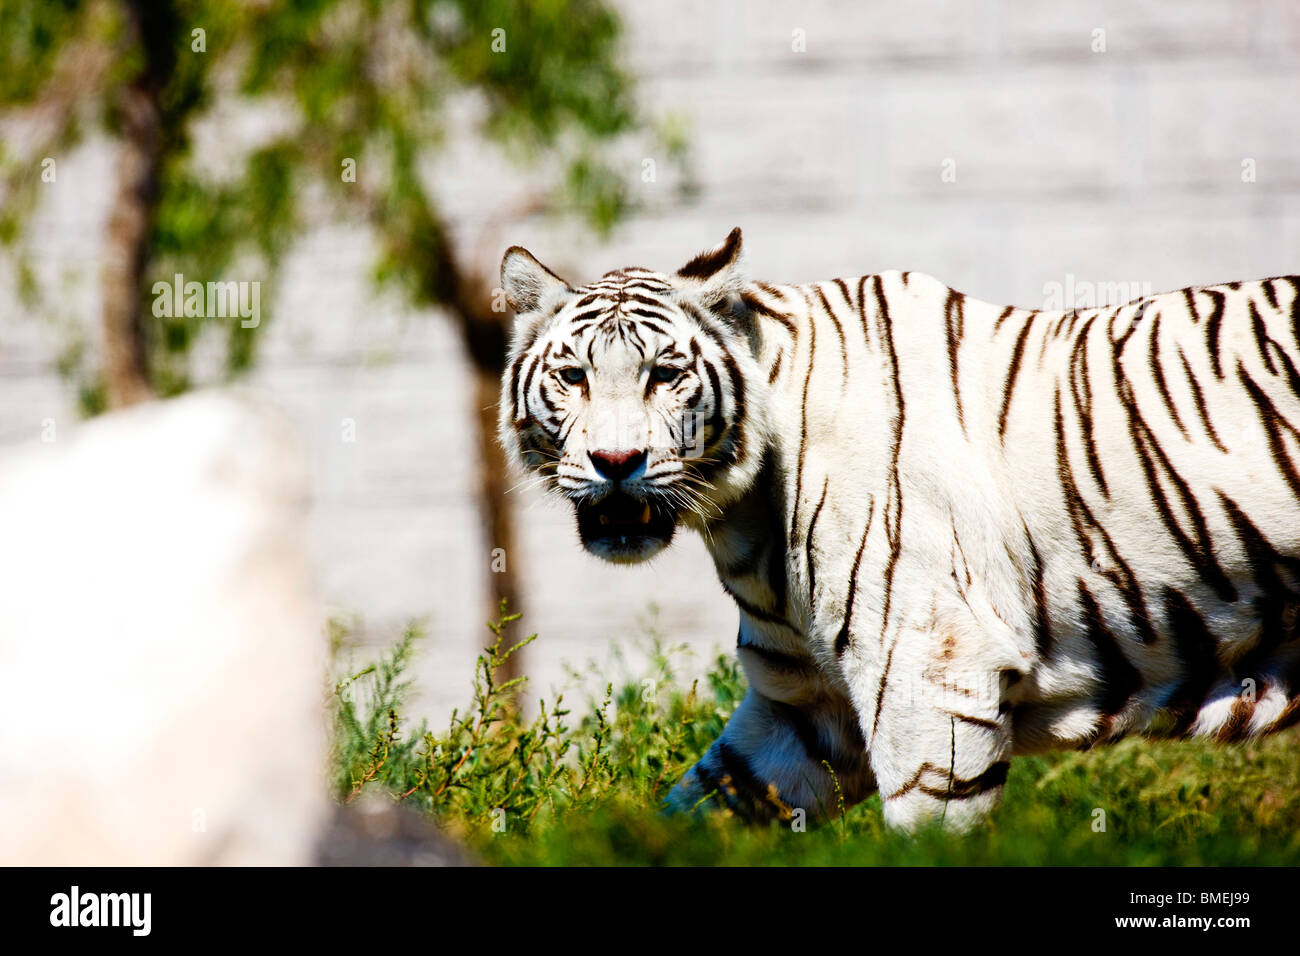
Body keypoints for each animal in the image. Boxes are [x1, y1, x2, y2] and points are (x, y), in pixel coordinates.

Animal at [497, 227, 1300, 831]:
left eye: (664, 376)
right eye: (572, 377)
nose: (615, 463)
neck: (741, 521)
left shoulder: (932, 684)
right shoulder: (804, 710)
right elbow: (694, 809)